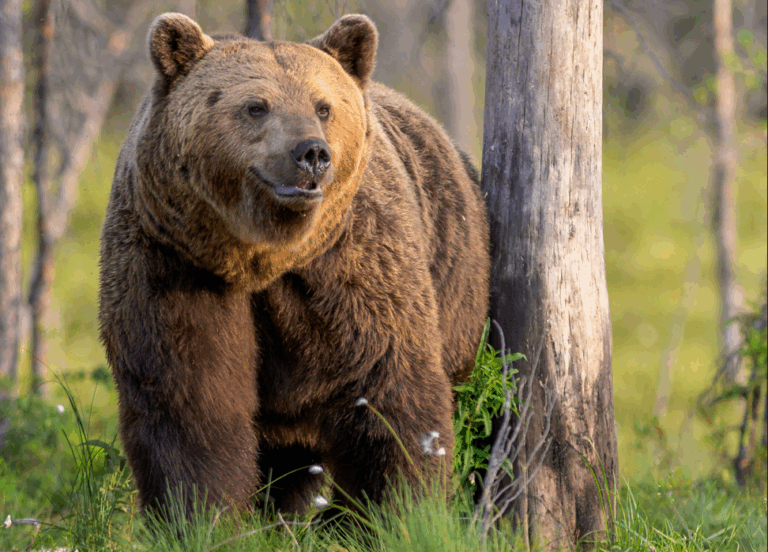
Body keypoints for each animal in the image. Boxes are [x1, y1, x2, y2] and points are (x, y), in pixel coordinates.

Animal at [99, 12, 490, 519]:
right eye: (256, 106)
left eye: (323, 107)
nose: (311, 153)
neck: (261, 258)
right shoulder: (173, 260)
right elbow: (188, 396)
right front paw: (199, 512)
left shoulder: (350, 265)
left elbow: (386, 386)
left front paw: (394, 511)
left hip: (458, 283)